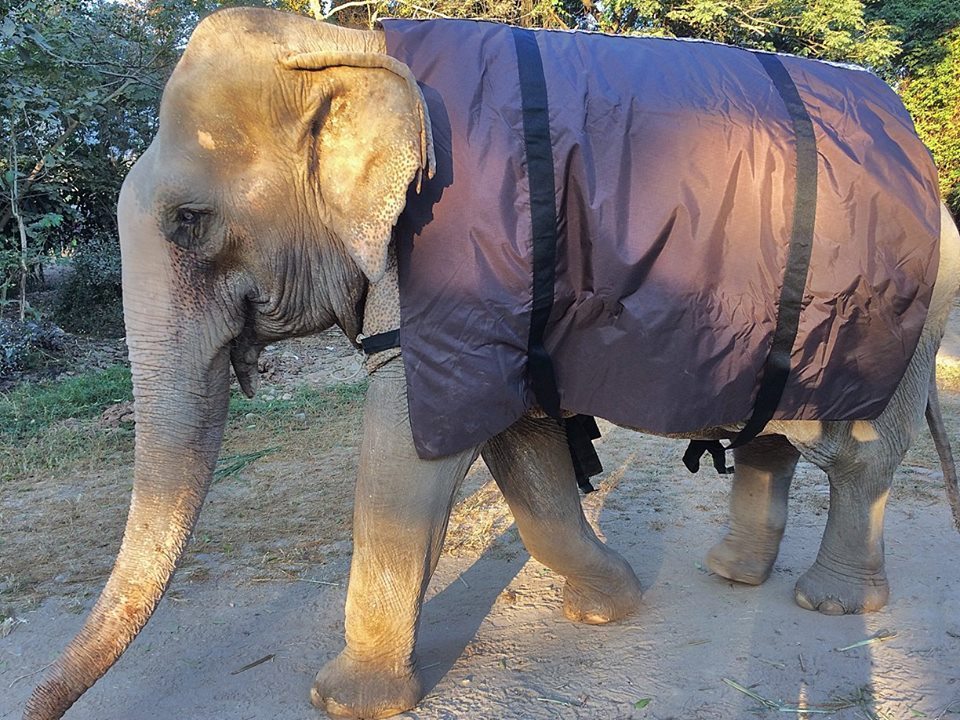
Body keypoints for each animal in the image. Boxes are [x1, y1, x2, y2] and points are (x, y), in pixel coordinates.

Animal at [25, 7, 960, 720]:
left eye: (187, 221)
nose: (36, 708)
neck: (344, 43)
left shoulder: (458, 274)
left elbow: (408, 459)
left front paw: (343, 700)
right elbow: (524, 453)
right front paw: (610, 606)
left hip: (910, 324)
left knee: (859, 457)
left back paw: (827, 602)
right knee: (767, 440)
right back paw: (731, 575)